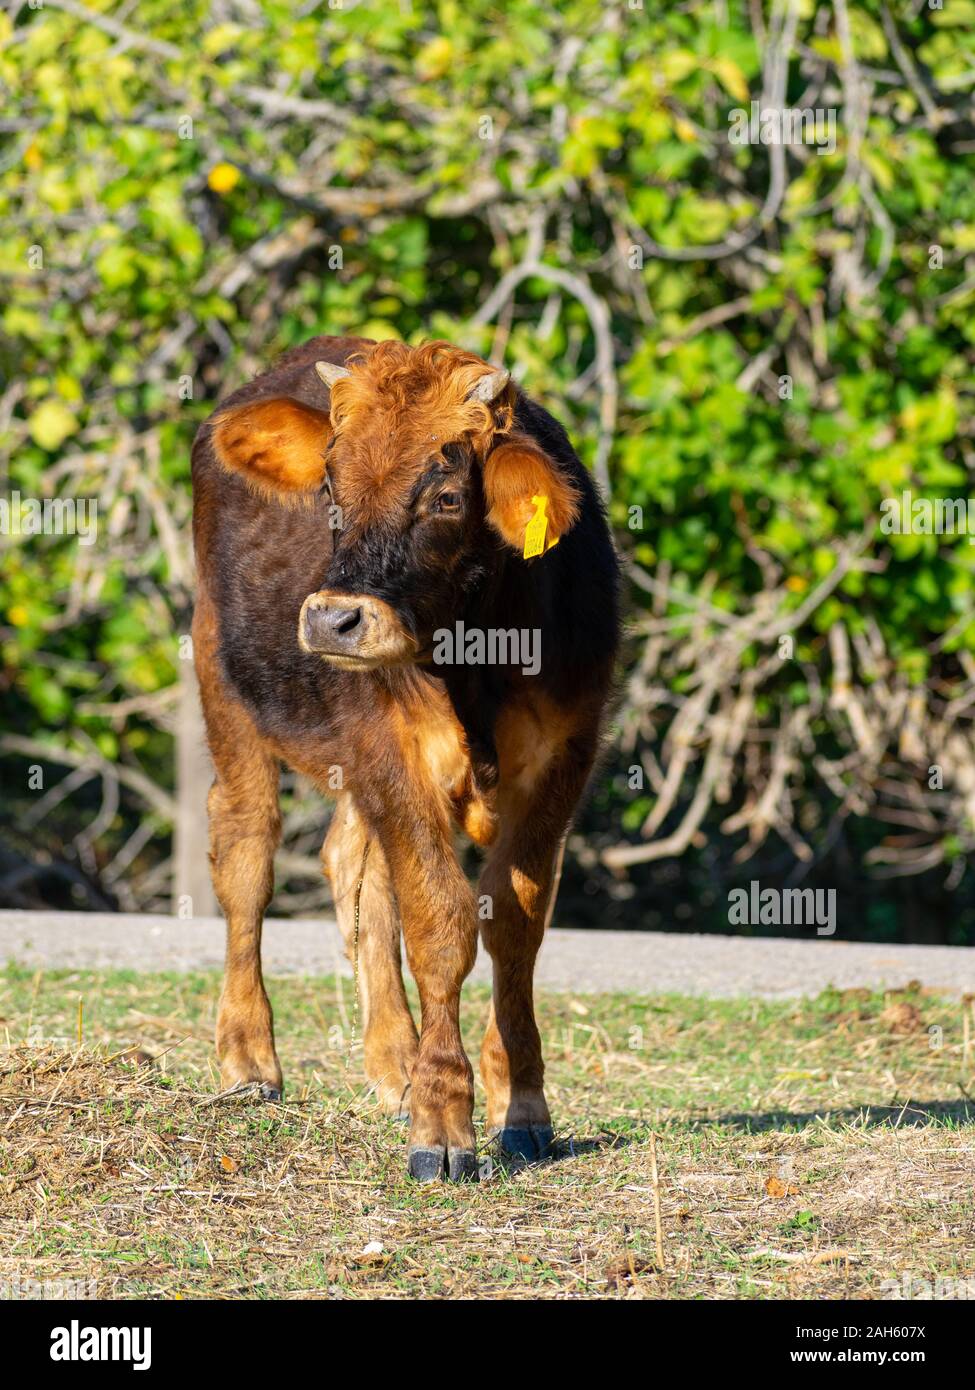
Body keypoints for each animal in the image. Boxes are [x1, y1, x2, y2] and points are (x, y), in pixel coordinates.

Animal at [191, 335, 619, 1181]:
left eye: (447, 497)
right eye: (329, 485)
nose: (335, 621)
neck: (477, 653)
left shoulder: (563, 750)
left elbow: (514, 921)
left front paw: (519, 1105)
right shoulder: (390, 746)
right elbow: (440, 921)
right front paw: (443, 1123)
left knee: (352, 865)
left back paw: (395, 1064)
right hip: (222, 676)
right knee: (247, 853)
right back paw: (251, 1062)